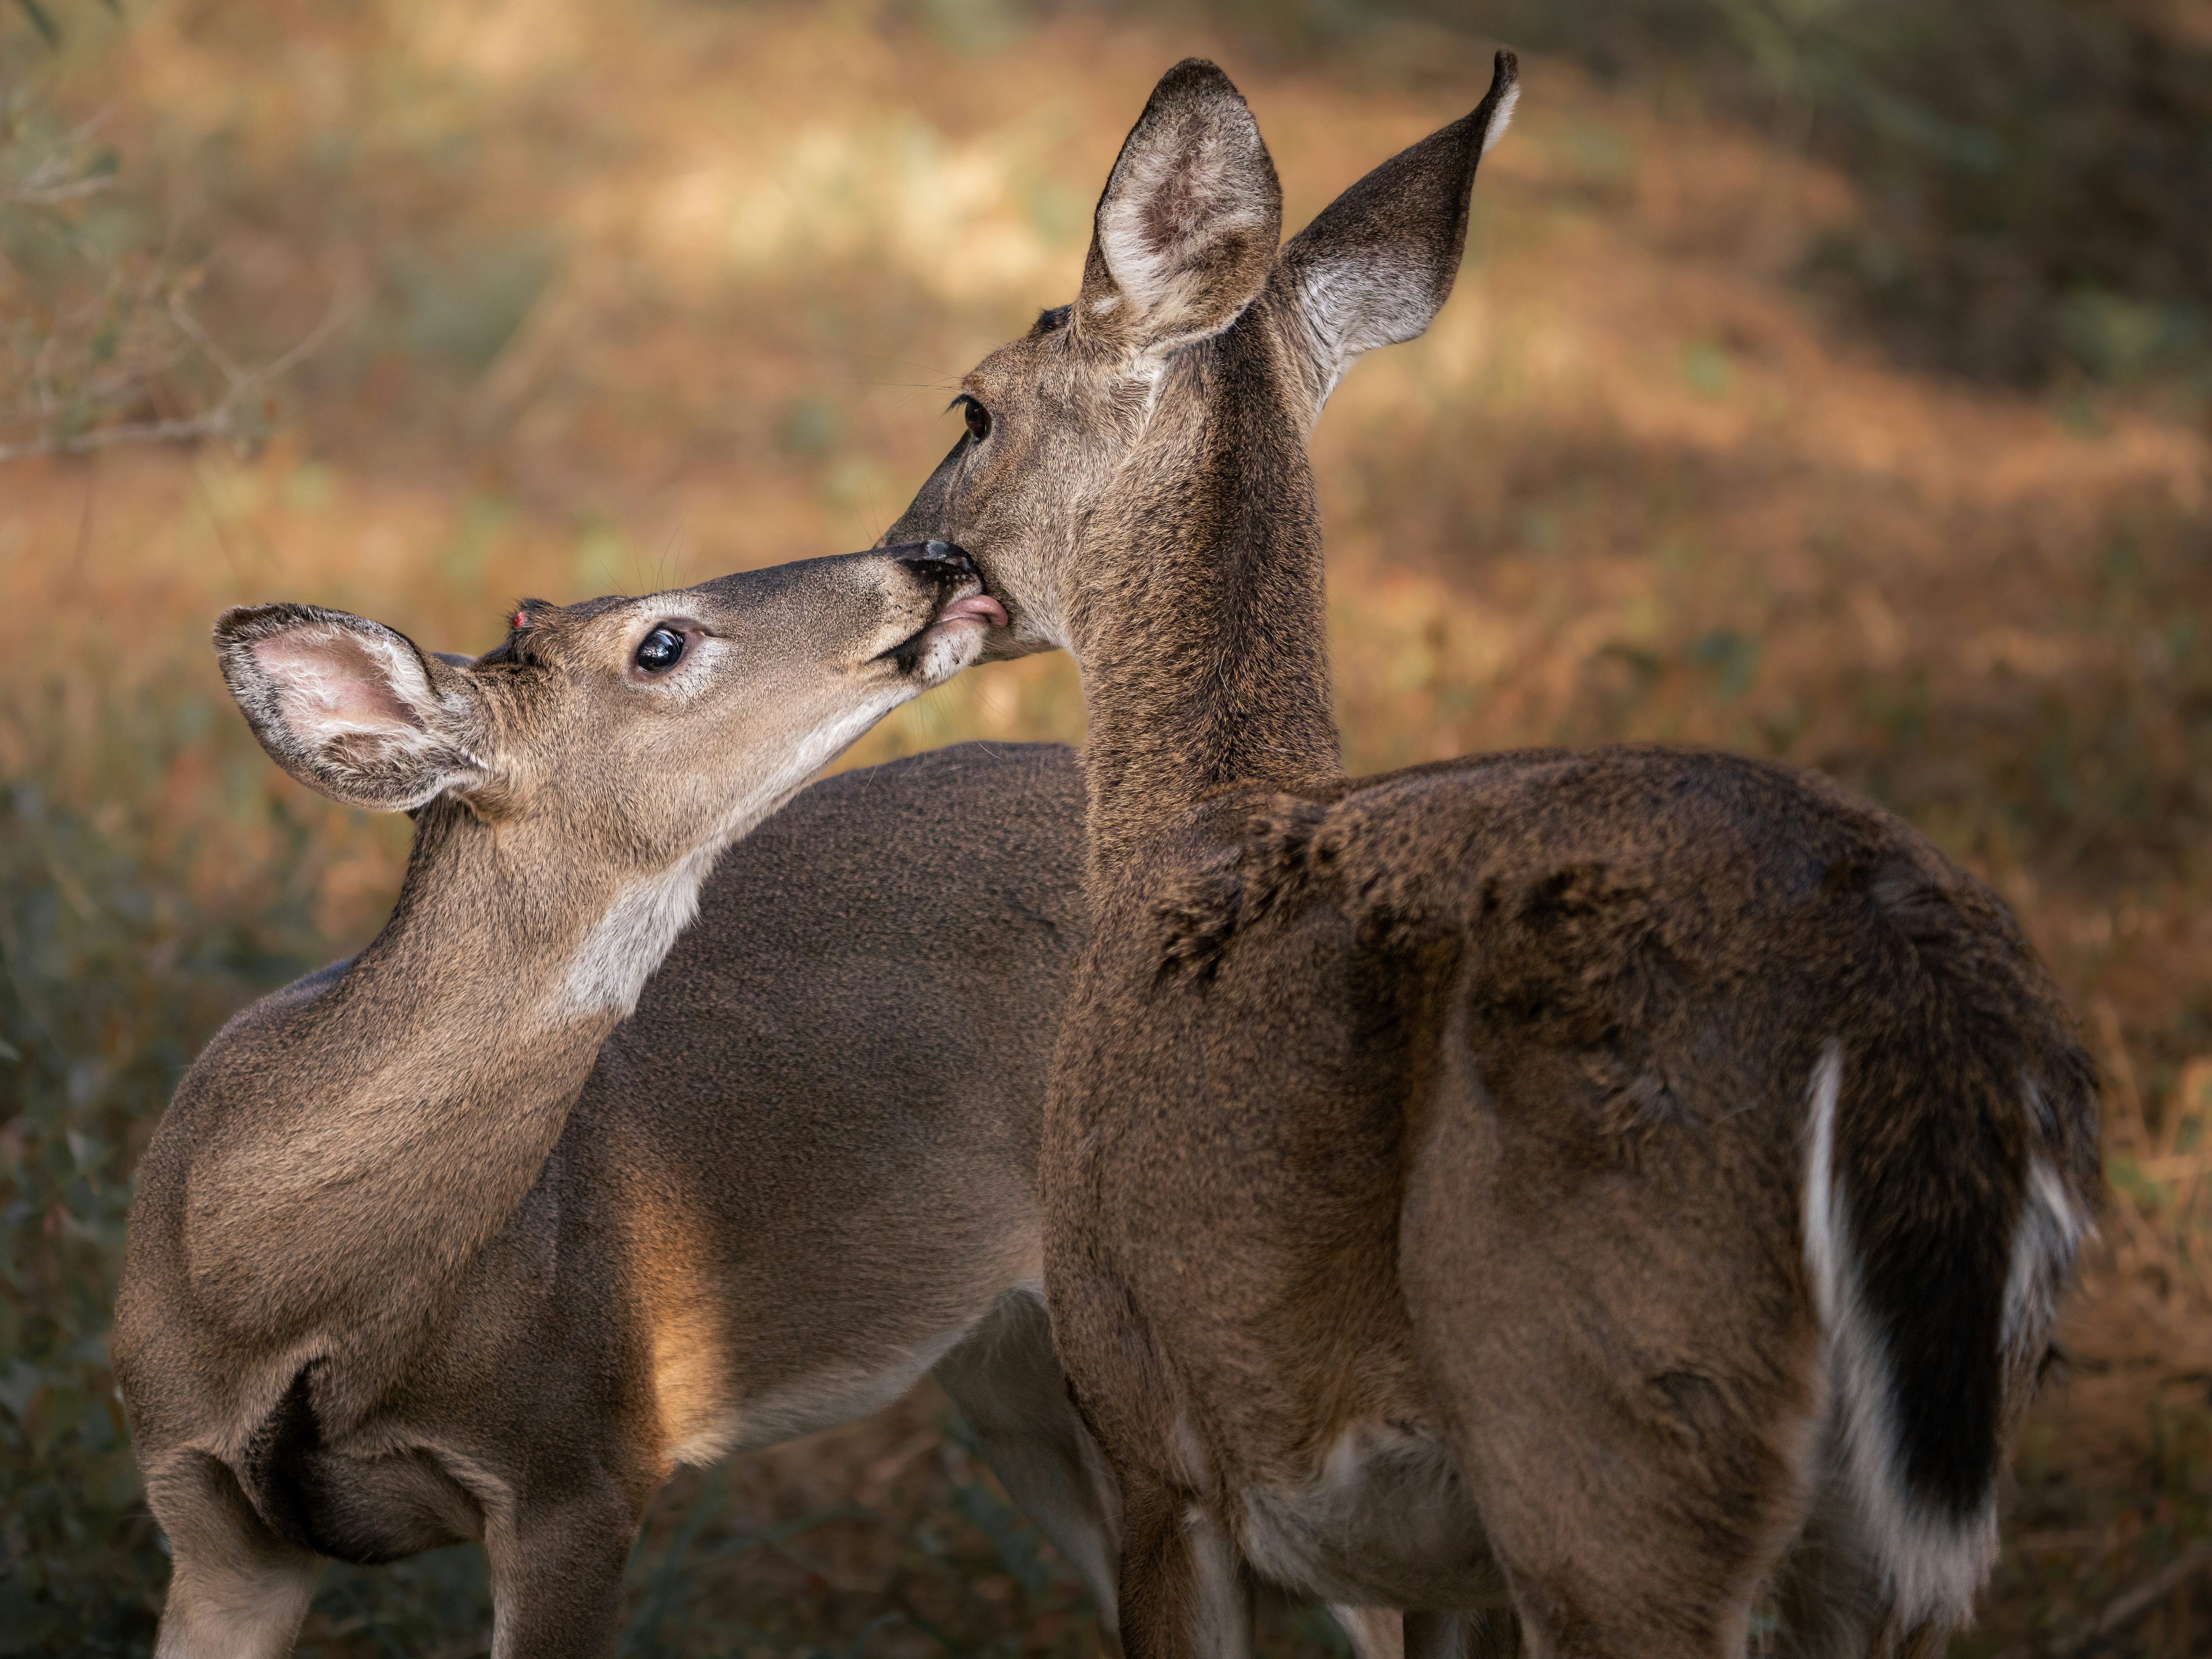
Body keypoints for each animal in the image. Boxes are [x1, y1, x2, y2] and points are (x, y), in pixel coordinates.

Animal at [111, 543, 1143, 1659]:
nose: (932, 557)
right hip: (1013, 1366)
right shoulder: (205, 1511)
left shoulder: (580, 1463)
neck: (268, 1292)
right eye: (661, 643)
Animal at [875, 49, 2102, 1659]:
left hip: (1598, 1418)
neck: (1181, 835)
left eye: (971, 408)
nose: (898, 561)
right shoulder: (1442, 1562)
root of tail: (1907, 1009)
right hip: (1881, 1525)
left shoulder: (1148, 1423)